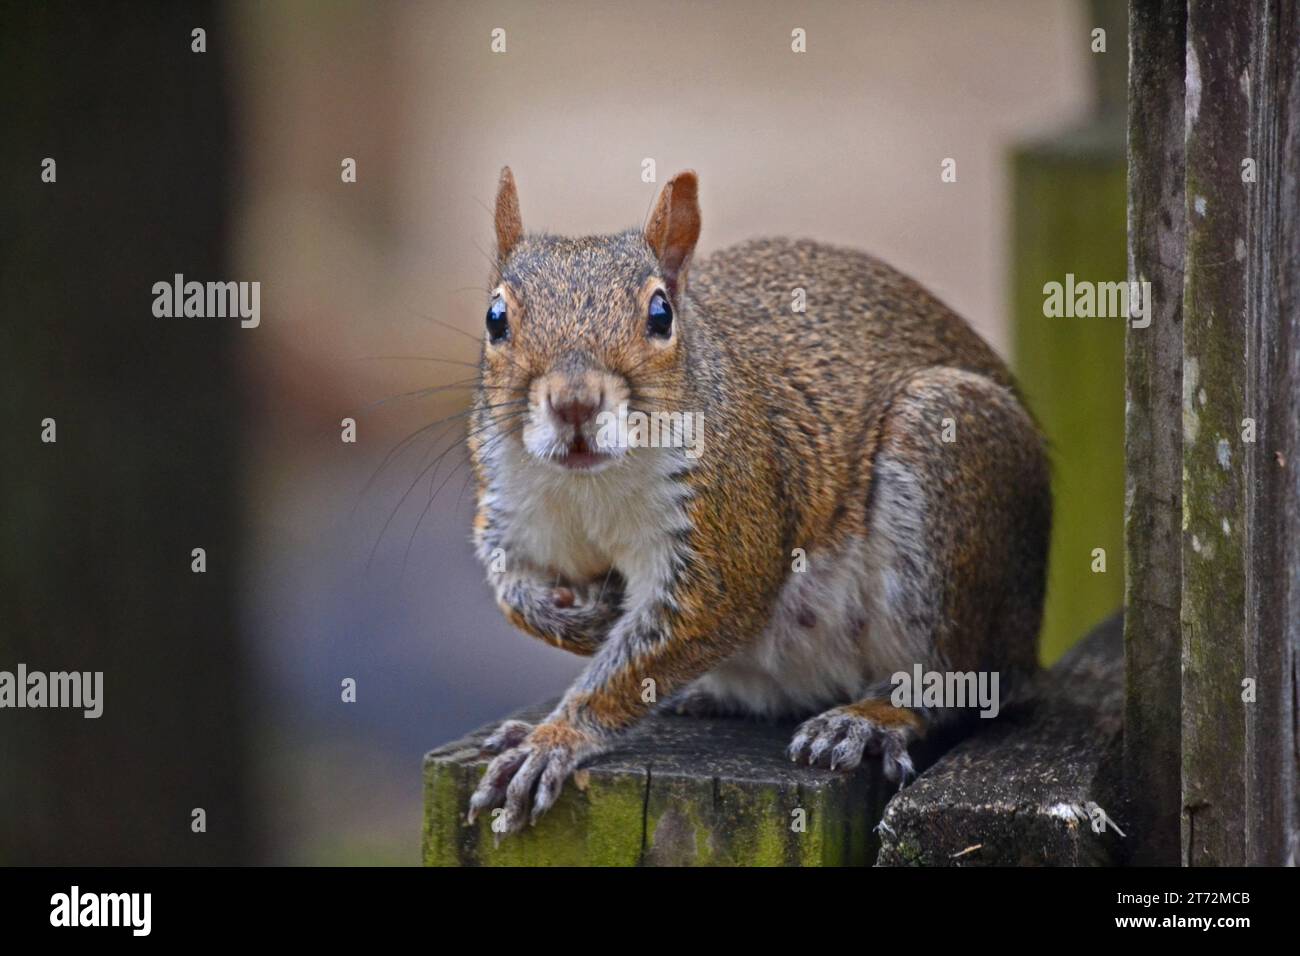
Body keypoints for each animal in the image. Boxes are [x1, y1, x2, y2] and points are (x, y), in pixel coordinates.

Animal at [462, 167, 1050, 832]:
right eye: (495, 317)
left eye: (661, 314)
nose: (575, 403)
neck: (588, 485)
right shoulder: (510, 503)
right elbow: (508, 585)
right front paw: (571, 618)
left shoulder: (729, 526)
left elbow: (690, 626)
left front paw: (555, 738)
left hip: (947, 453)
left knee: (954, 682)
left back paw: (870, 718)